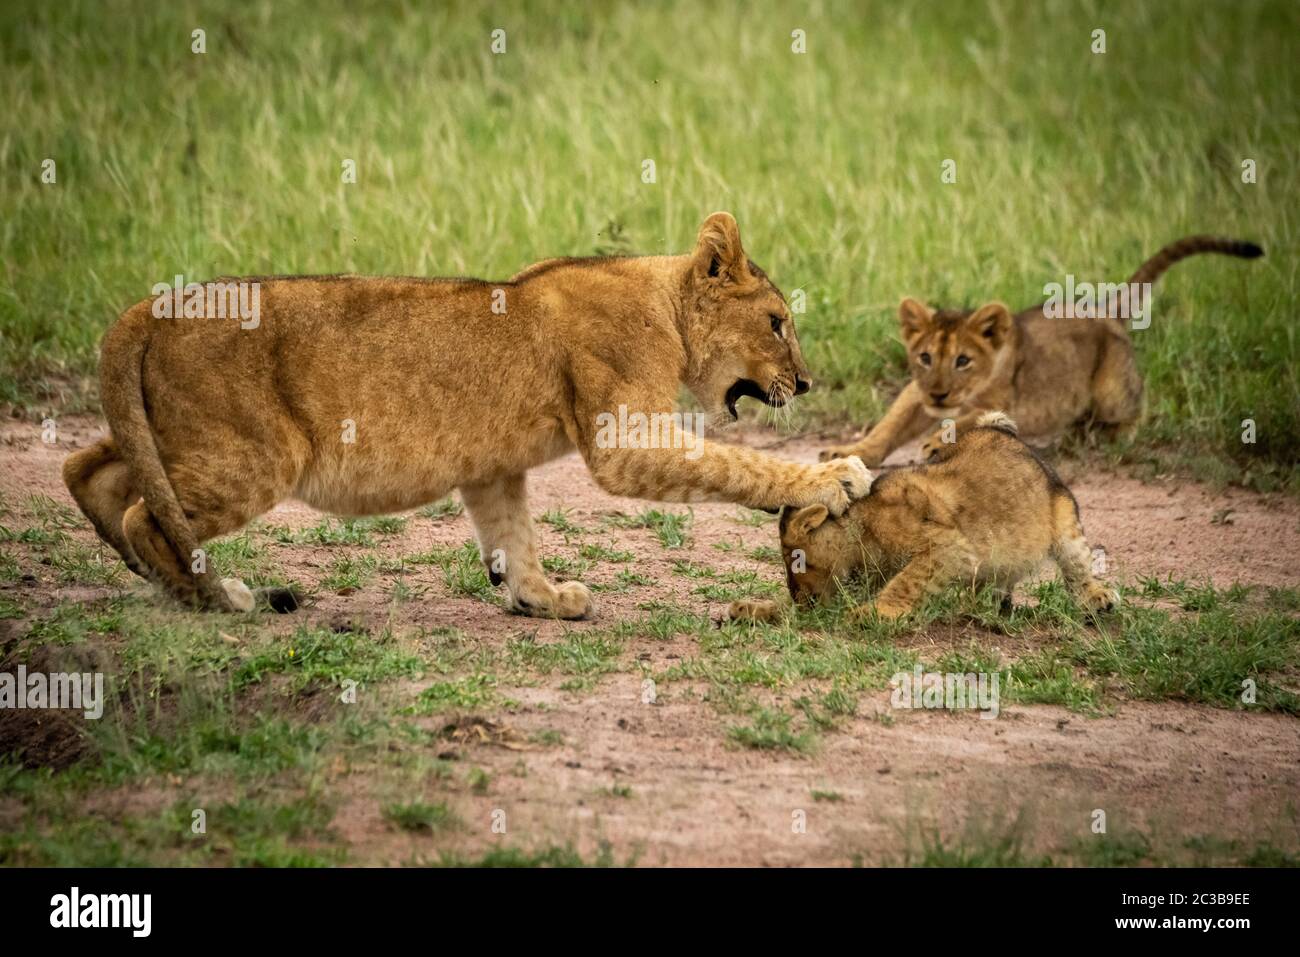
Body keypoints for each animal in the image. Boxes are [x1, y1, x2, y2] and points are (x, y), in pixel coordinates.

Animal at [63, 212, 871, 617]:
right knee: (146, 512)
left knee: (89, 467)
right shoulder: (623, 438)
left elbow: (512, 533)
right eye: (777, 322)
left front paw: (541, 597)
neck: (664, 306)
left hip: (176, 437)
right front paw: (832, 477)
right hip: (255, 455)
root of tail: (153, 305)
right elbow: (739, 463)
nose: (805, 382)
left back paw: (146, 573)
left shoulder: (492, 466)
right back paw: (212, 596)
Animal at [729, 412, 1117, 624]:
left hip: (1065, 519)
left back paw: (1097, 599)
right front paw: (754, 609)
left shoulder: (949, 546)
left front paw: (876, 614)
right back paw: (978, 605)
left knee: (1078, 566)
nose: (800, 600)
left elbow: (907, 581)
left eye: (796, 561)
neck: (862, 524)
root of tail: (1003, 432)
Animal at [821, 236, 1263, 466]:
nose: (939, 394)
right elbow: (888, 427)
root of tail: (1105, 310)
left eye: (963, 360)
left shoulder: (1006, 401)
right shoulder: (916, 392)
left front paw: (934, 442)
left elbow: (968, 418)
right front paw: (848, 452)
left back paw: (1105, 435)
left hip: (1112, 389)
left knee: (1135, 409)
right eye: (925, 357)